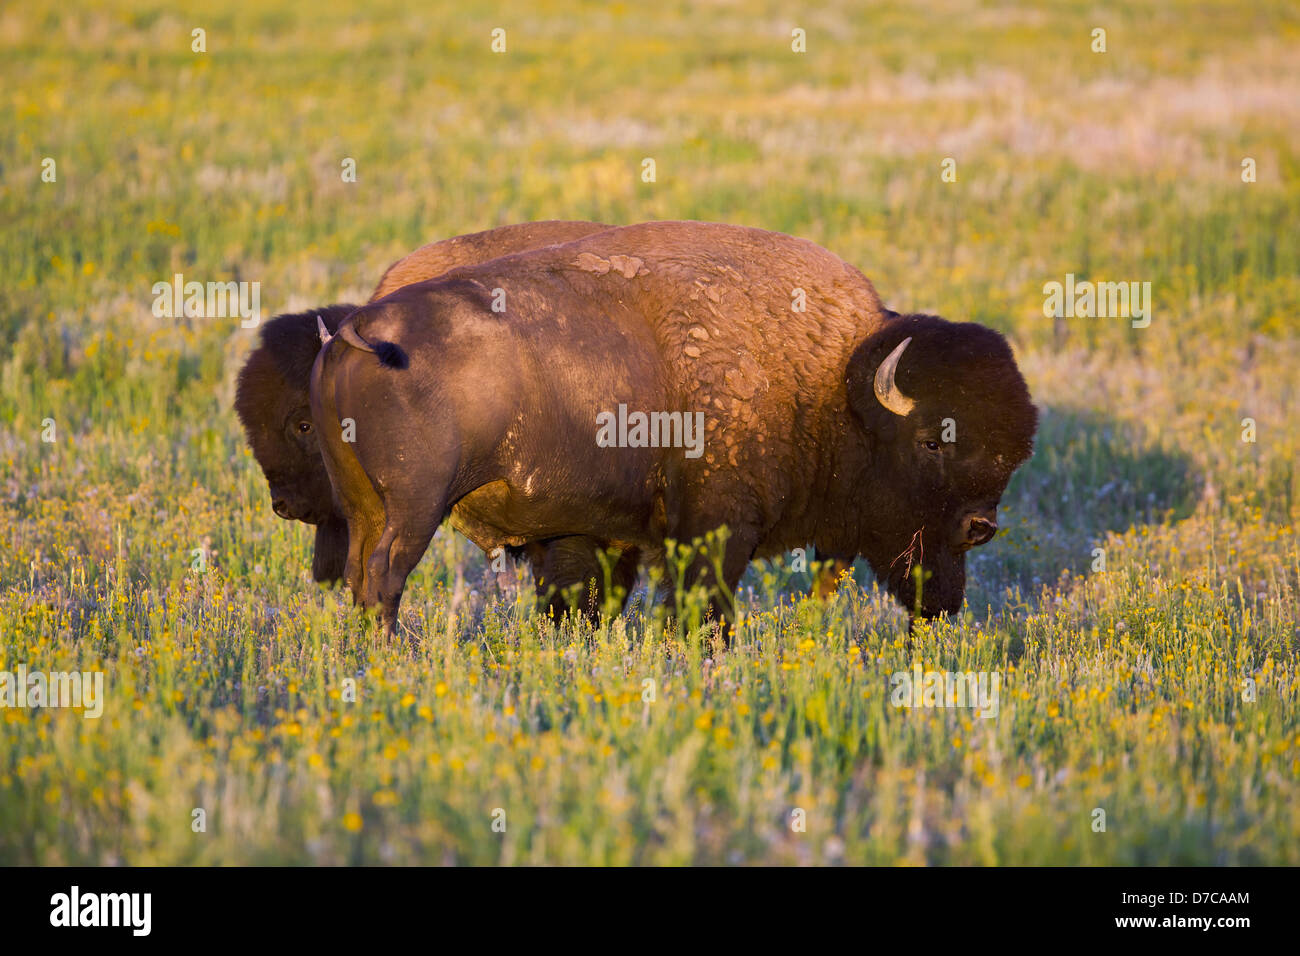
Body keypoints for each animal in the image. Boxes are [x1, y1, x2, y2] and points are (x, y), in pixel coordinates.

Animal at [310, 221, 1038, 638]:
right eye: (932, 440)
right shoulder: (715, 530)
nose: (981, 526)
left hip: (365, 508)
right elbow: (699, 608)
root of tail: (360, 329)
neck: (831, 380)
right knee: (385, 580)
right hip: (413, 509)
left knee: (361, 578)